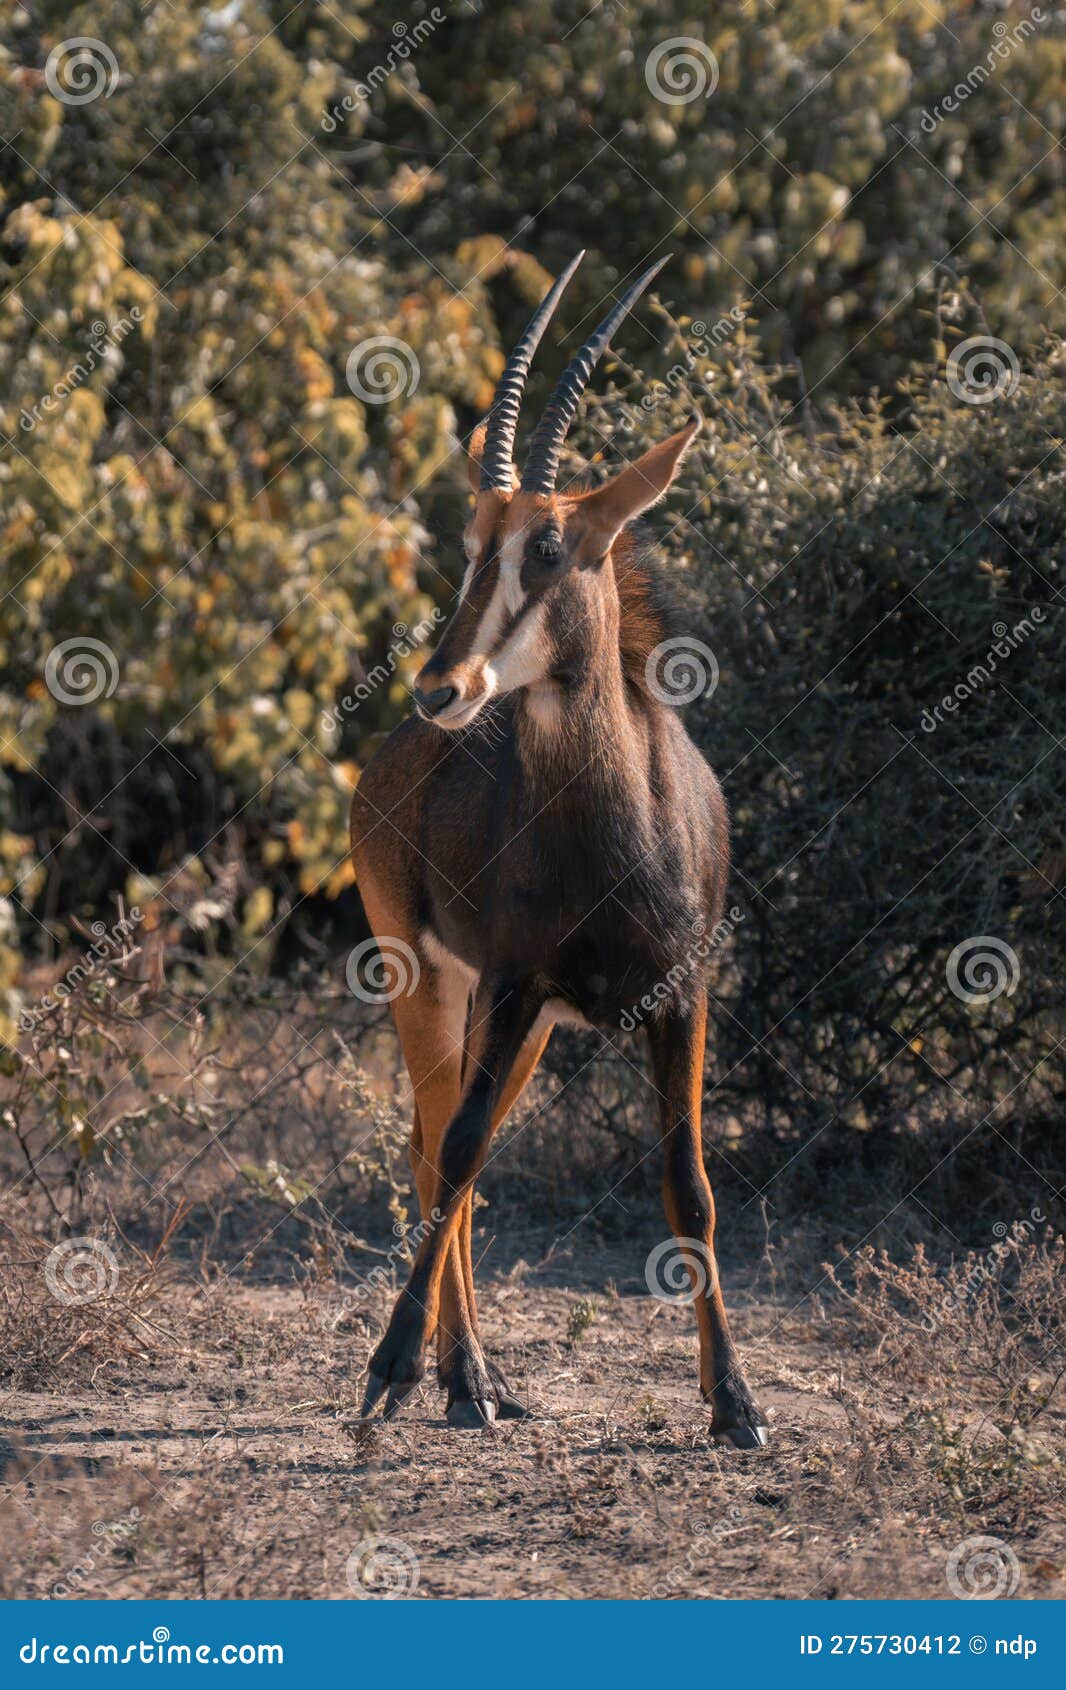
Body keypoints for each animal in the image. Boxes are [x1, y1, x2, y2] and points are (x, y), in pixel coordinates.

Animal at [350, 252, 768, 1448]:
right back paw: (463, 1379)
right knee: (436, 1149)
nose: (441, 685)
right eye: (466, 547)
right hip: (431, 980)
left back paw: (479, 1379)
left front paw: (736, 1402)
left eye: (547, 546)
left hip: (522, 1021)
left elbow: (690, 1183)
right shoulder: (508, 984)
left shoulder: (681, 993)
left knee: (462, 1150)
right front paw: (390, 1372)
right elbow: (453, 1156)